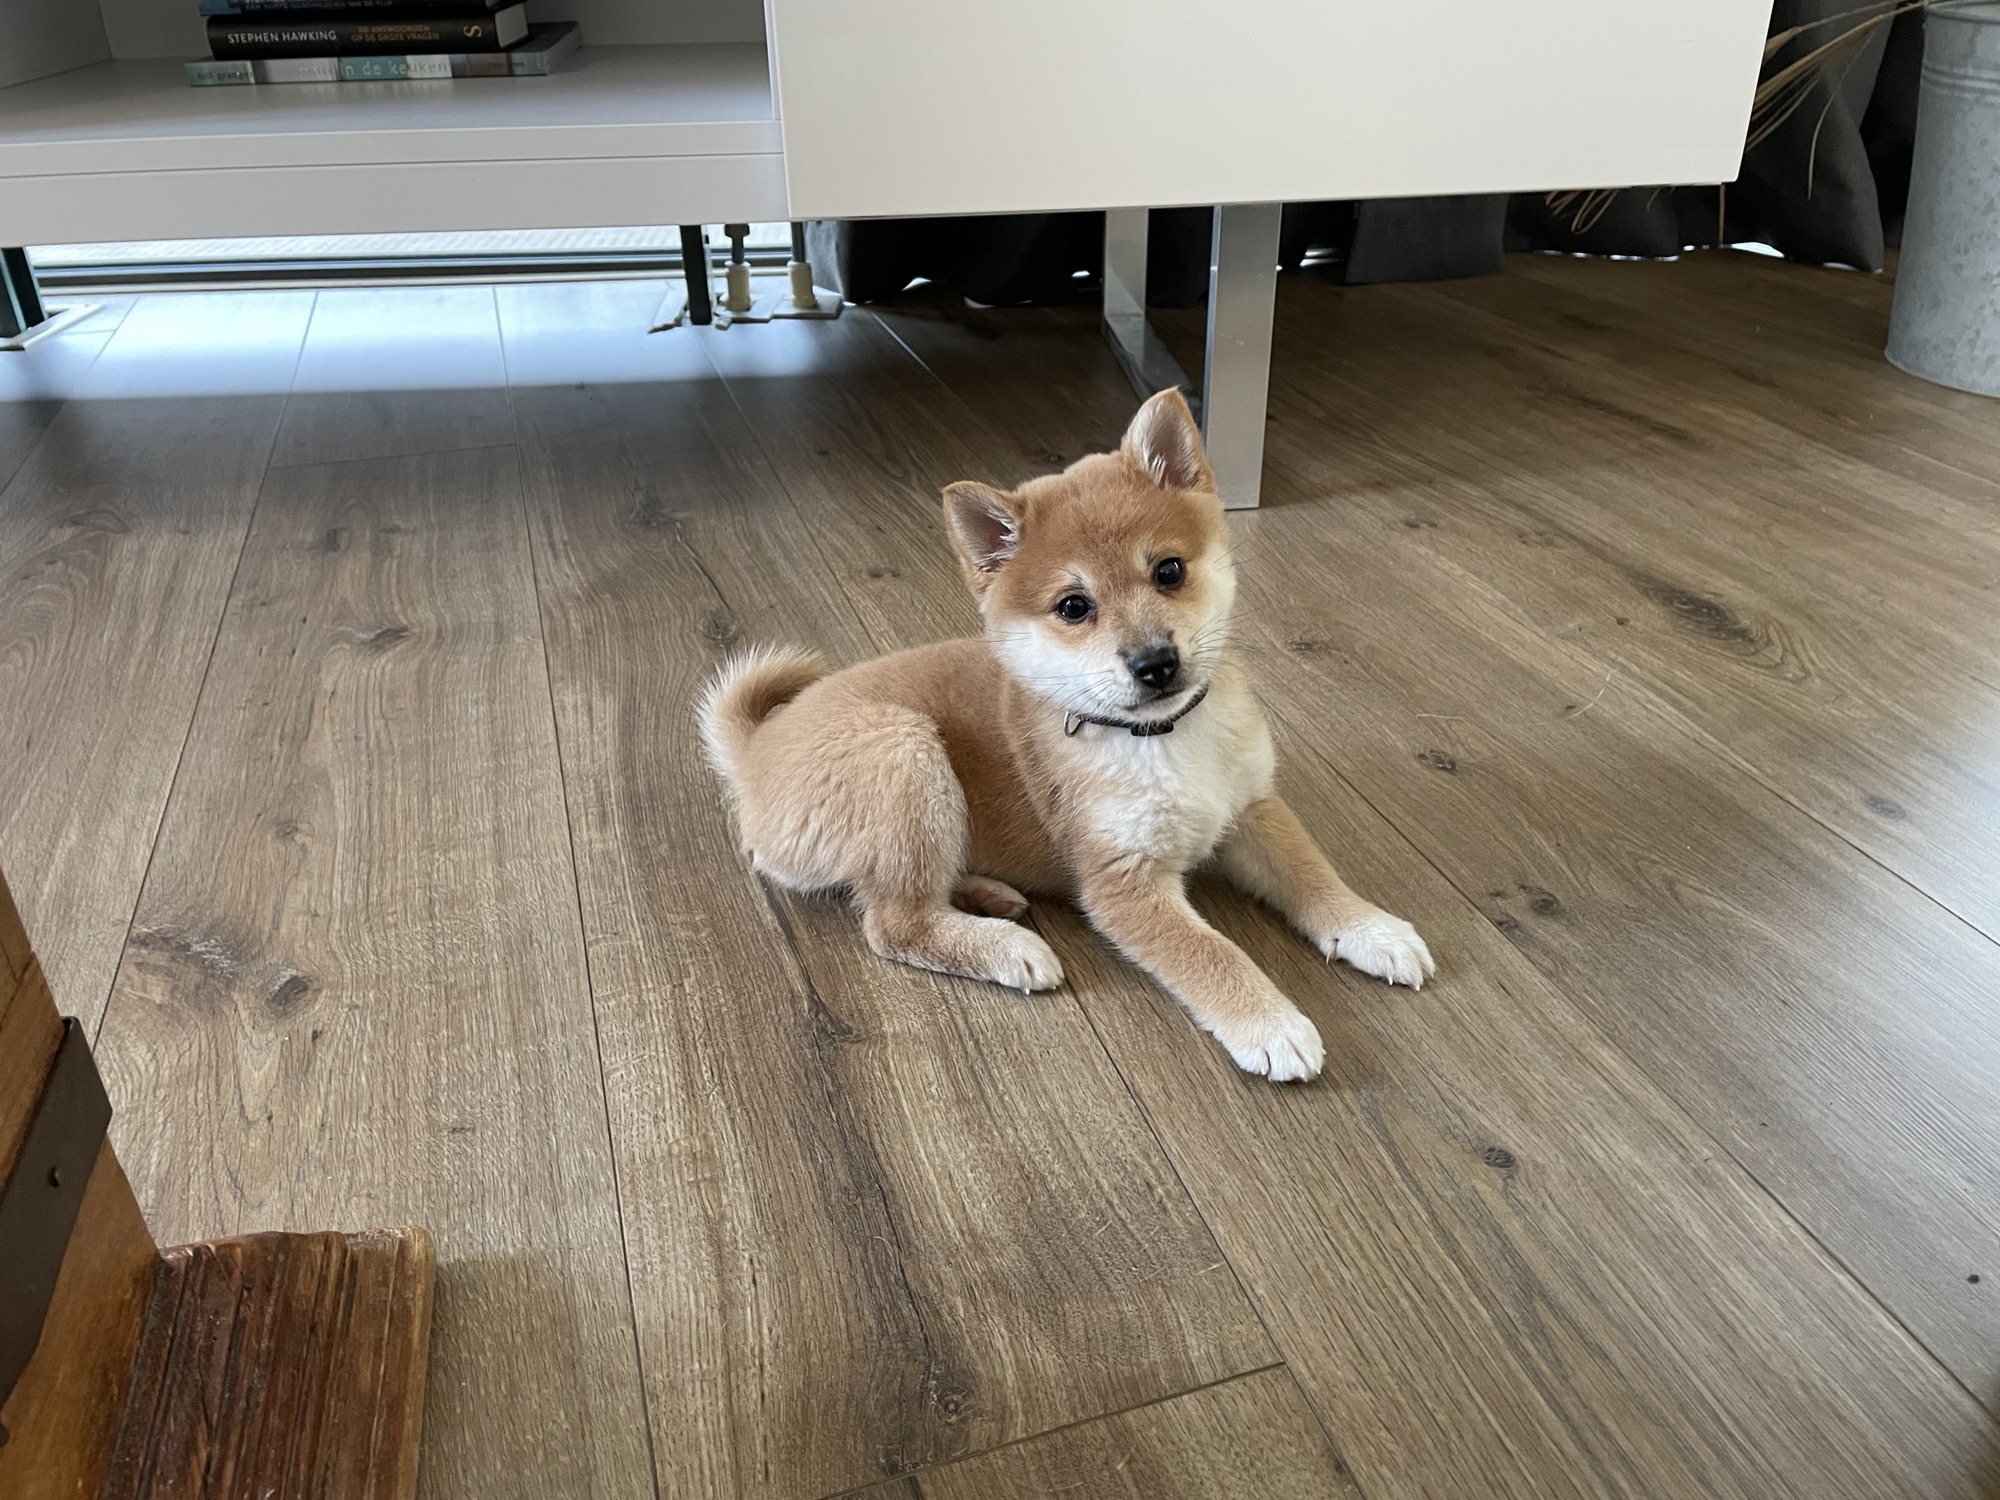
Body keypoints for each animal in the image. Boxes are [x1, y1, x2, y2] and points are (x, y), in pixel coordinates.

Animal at [699, 388, 1433, 1081]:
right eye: (1073, 607)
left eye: (1169, 570)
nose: (1155, 663)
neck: (1159, 738)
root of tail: (755, 753)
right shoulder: (1124, 884)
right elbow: (1211, 954)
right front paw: (1270, 1022)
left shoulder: (1251, 810)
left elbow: (1314, 875)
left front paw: (1370, 928)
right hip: (903, 750)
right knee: (894, 923)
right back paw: (1005, 948)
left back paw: (989, 894)